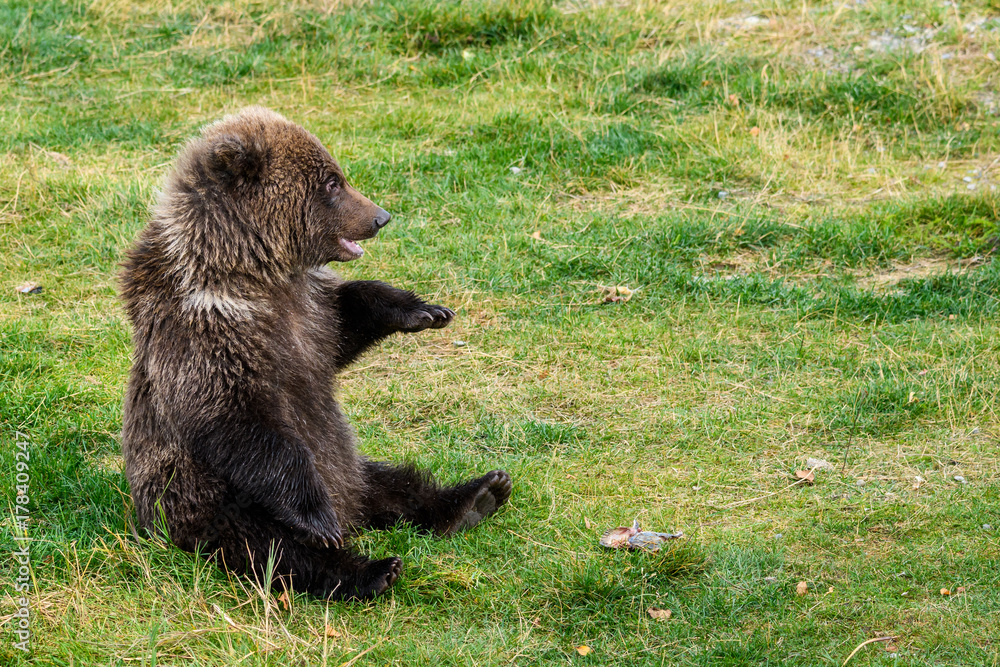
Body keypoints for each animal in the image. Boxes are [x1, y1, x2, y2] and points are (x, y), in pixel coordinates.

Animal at [119, 107, 512, 600]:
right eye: (330, 184)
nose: (380, 217)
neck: (250, 267)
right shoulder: (206, 329)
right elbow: (238, 418)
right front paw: (319, 520)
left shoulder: (309, 310)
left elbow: (346, 321)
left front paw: (423, 309)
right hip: (204, 500)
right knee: (270, 545)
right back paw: (371, 569)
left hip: (349, 466)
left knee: (391, 482)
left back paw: (477, 495)